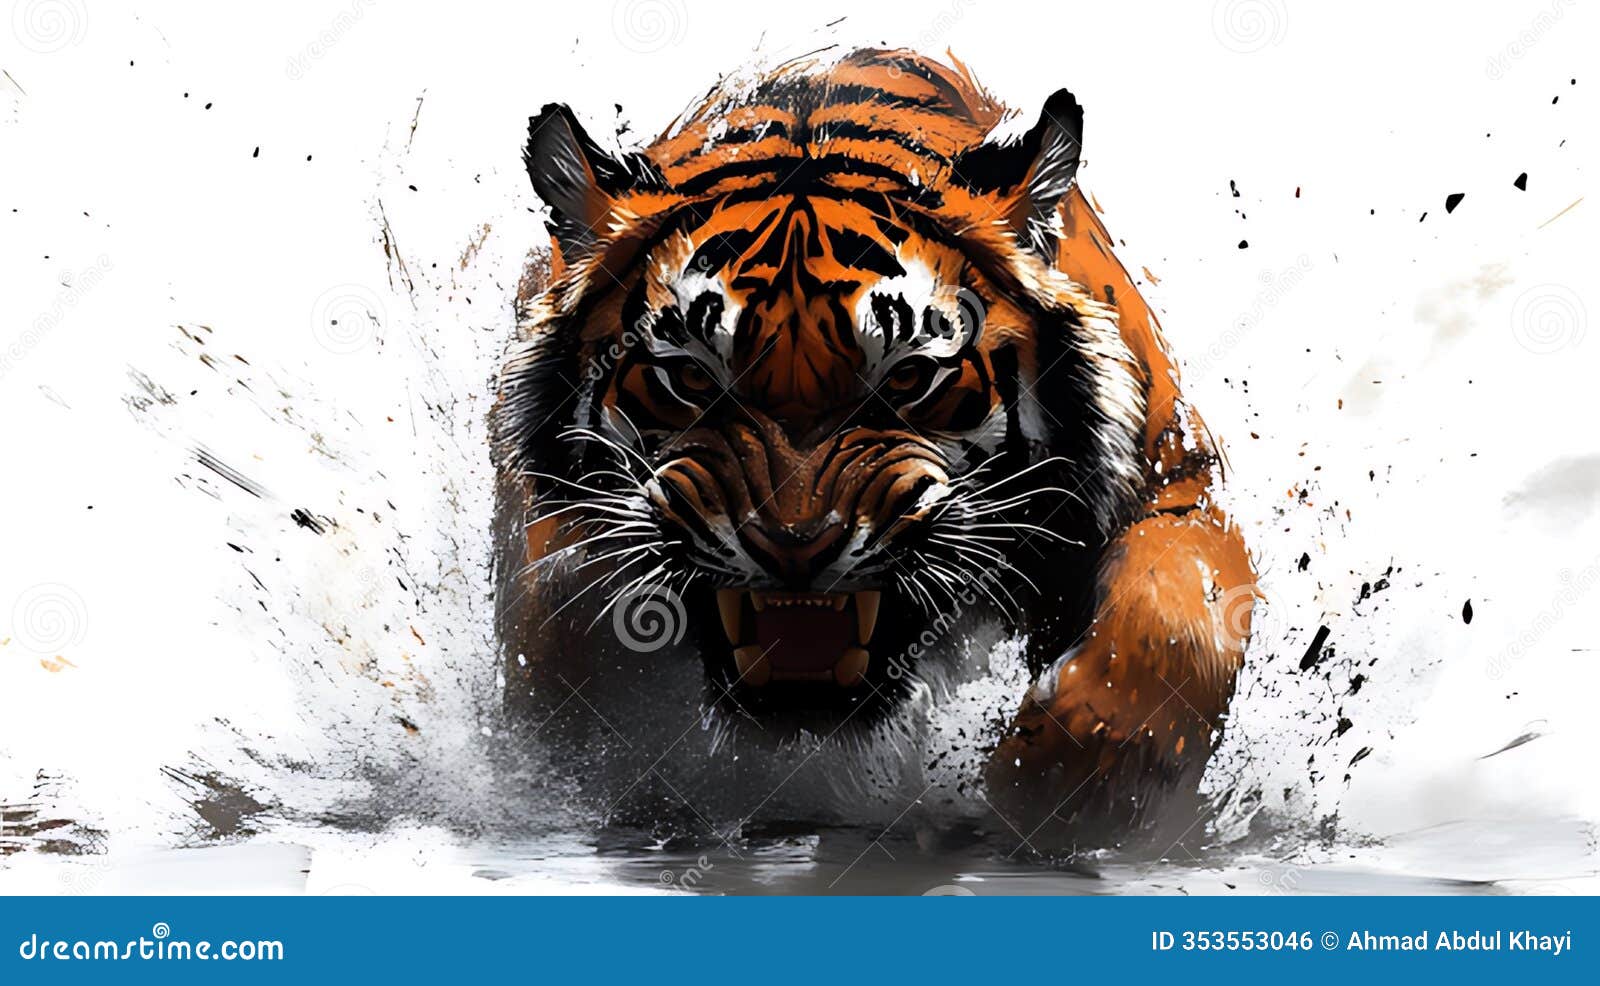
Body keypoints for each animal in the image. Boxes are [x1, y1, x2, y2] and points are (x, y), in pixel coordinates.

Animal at [493, 48, 1255, 839]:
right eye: (693, 378)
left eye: (909, 377)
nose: (794, 546)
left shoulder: (1173, 481)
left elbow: (1173, 623)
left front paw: (1068, 794)